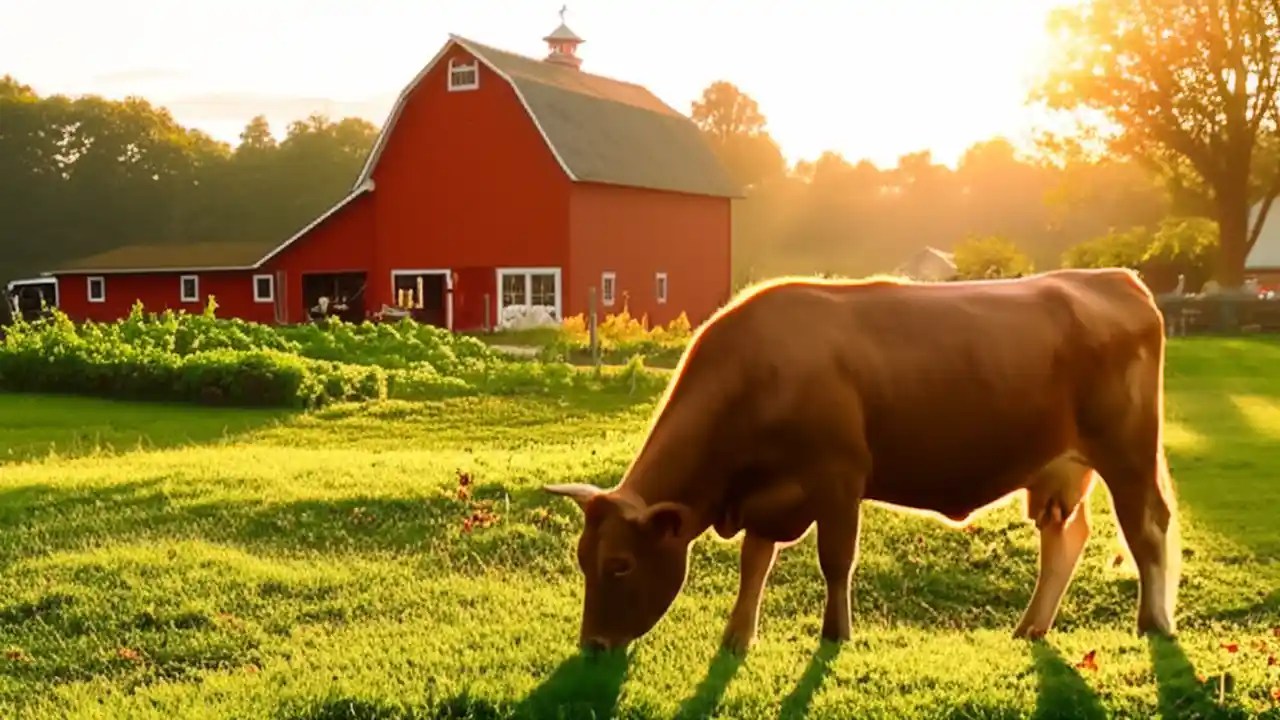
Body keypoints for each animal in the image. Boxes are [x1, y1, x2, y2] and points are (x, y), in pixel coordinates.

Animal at [545, 267, 1181, 655]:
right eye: (582, 560)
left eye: (621, 565)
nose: (593, 646)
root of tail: (1111, 277)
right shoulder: (768, 497)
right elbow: (755, 563)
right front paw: (737, 637)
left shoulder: (838, 478)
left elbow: (835, 560)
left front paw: (836, 634)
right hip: (1059, 468)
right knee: (1064, 537)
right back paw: (1031, 627)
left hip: (1127, 452)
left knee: (1147, 528)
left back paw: (1154, 623)